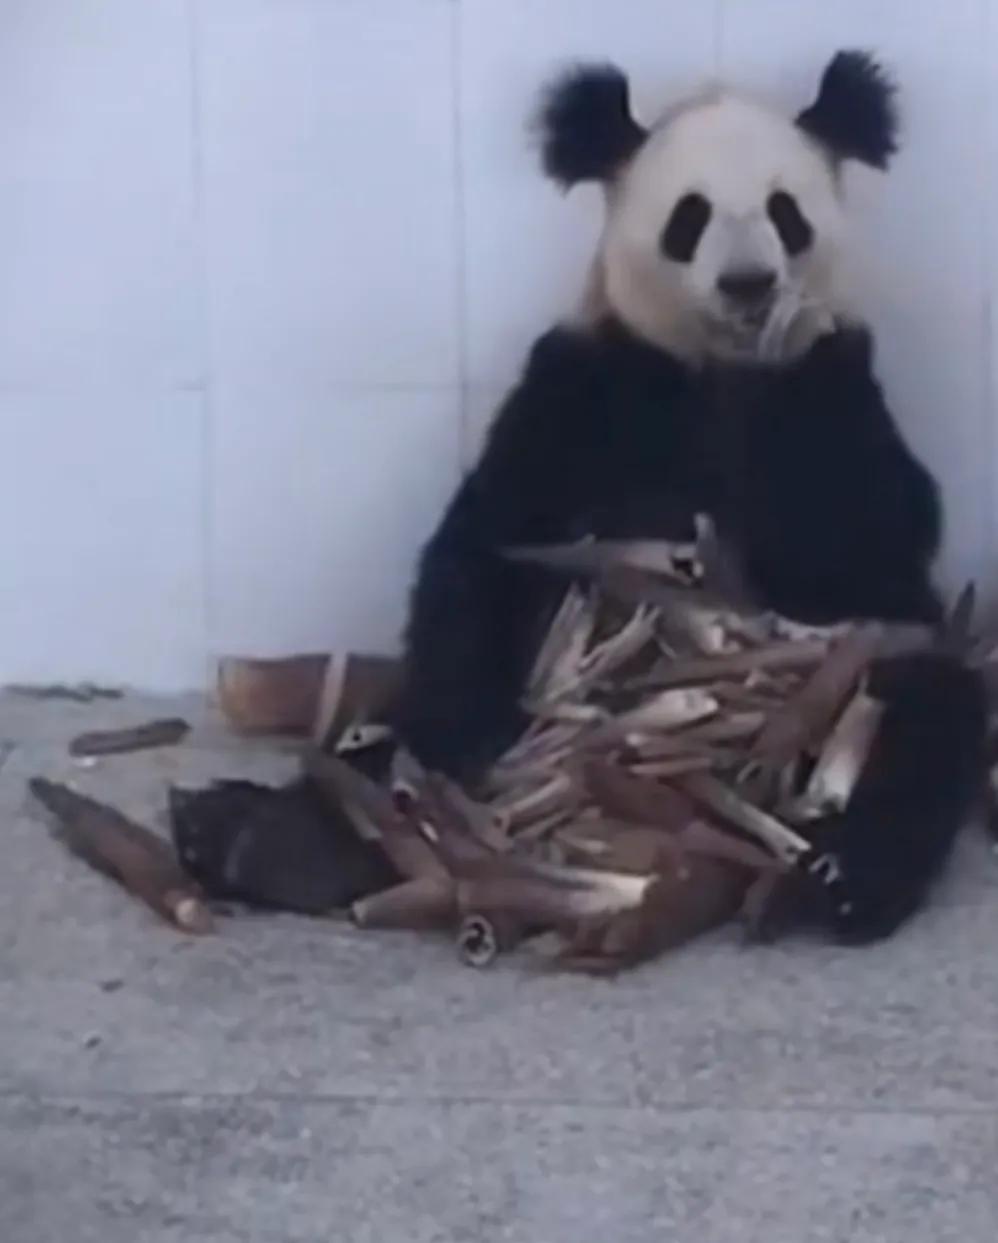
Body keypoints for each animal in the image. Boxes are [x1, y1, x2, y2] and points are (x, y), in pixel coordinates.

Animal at [395, 50, 988, 943]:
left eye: (786, 213)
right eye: (690, 217)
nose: (748, 284)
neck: (722, 374)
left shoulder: (831, 393)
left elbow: (872, 540)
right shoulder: (589, 383)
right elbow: (493, 542)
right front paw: (467, 740)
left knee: (921, 708)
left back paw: (848, 873)